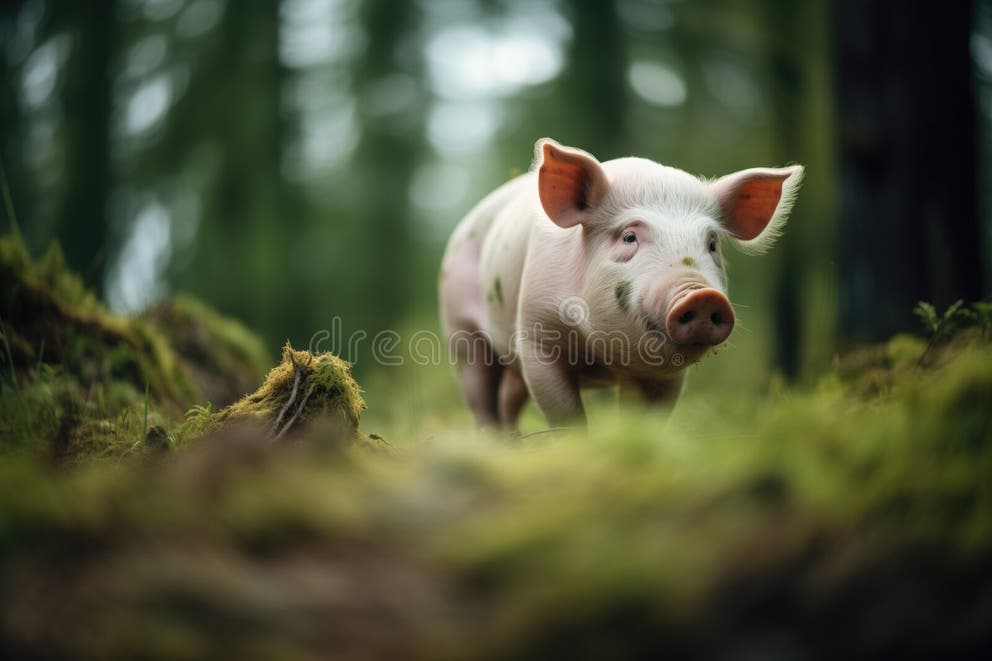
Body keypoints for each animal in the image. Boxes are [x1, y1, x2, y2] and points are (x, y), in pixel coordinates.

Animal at [439, 138, 803, 428]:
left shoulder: (665, 375)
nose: (700, 295)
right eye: (629, 237)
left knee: (508, 399)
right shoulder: (536, 335)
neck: (602, 358)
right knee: (481, 396)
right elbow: (565, 413)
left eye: (712, 244)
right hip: (461, 331)